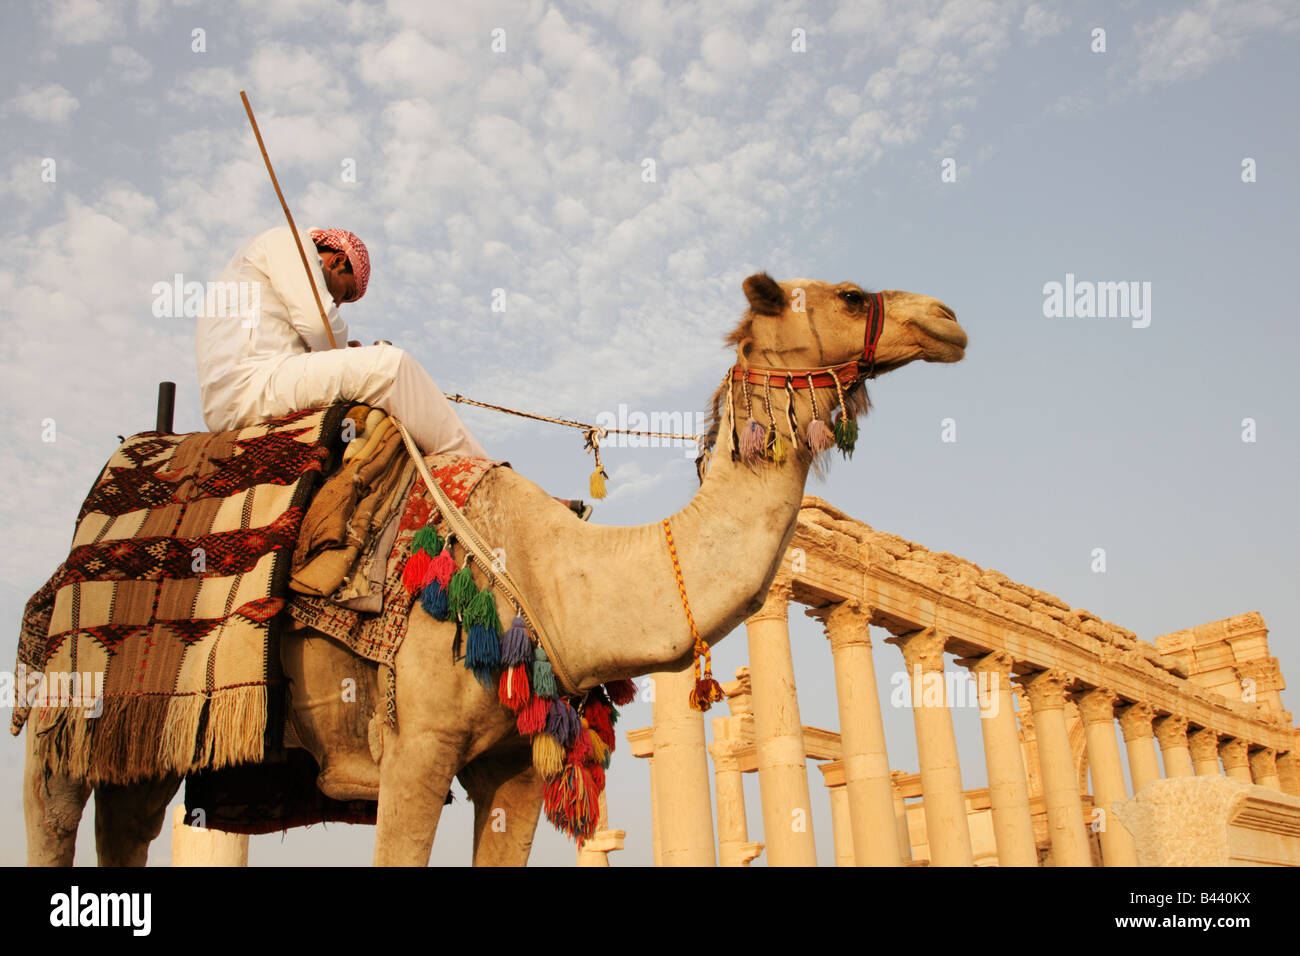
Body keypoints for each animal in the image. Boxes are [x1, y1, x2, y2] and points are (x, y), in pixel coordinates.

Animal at [23, 273, 966, 866]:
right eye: (849, 294)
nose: (948, 318)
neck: (554, 579)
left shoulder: (511, 766)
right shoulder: (414, 745)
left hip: (151, 736)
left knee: (127, 826)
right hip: (68, 708)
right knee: (52, 814)